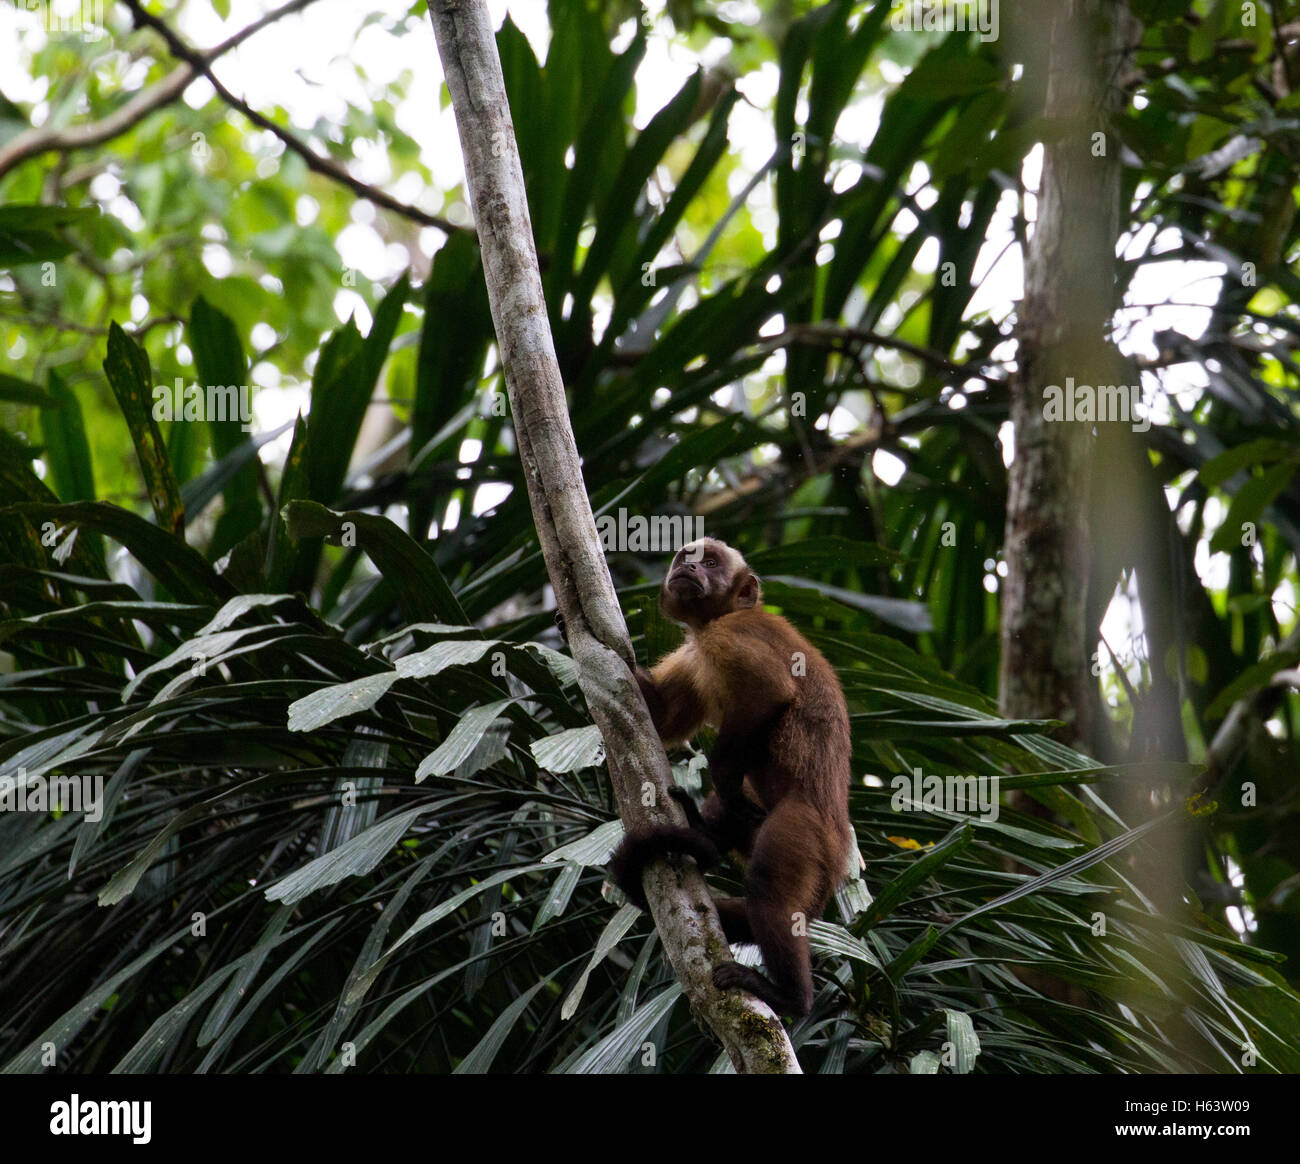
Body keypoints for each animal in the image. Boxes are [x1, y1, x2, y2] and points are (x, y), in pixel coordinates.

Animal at [608, 537, 853, 1018]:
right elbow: (661, 719)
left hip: (805, 828)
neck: (712, 621)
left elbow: (769, 694)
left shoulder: (734, 632)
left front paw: (721, 773)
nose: (689, 568)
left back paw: (791, 999)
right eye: (686, 557)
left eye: (711, 562)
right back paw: (704, 835)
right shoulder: (695, 651)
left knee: (770, 895)